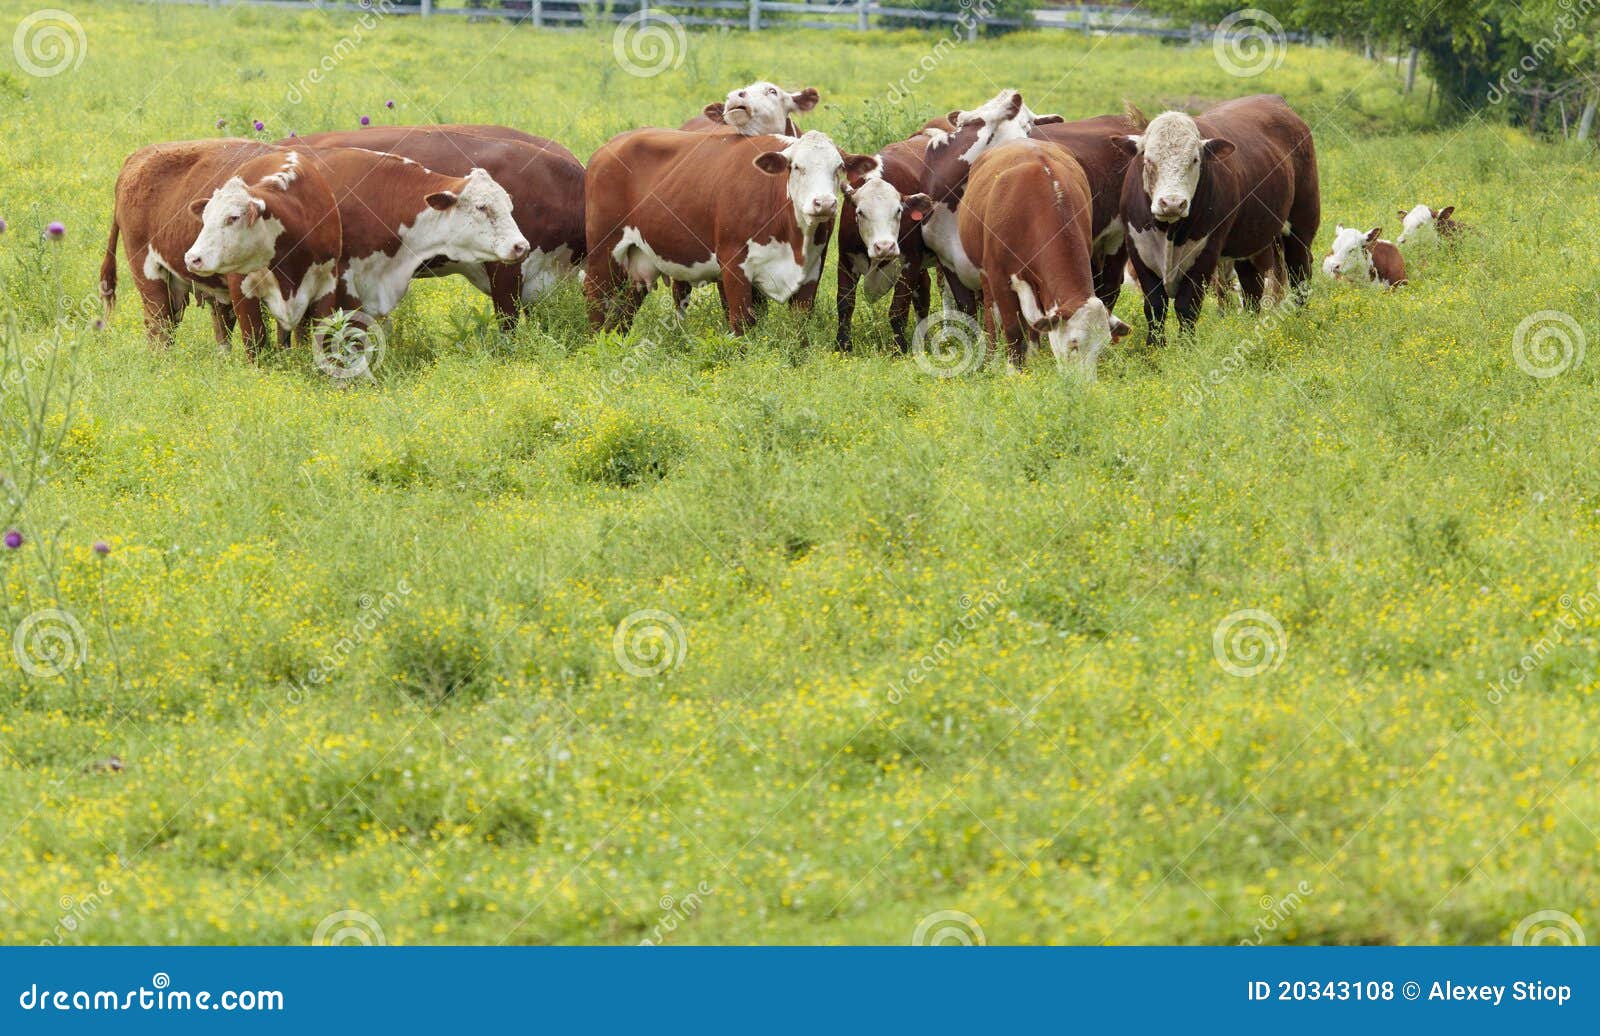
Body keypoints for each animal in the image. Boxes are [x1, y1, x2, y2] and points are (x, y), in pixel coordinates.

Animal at [99, 140, 341, 355]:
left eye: (233, 218)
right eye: (205, 219)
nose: (192, 258)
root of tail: (137, 156)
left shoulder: (326, 286)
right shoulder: (242, 289)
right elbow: (256, 343)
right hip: (149, 276)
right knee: (160, 329)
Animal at [584, 129, 875, 333]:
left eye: (839, 167)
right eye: (796, 167)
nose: (824, 203)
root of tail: (609, 147)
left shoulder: (812, 268)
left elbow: (800, 324)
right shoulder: (734, 265)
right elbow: (743, 322)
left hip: (638, 260)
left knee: (625, 309)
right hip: (603, 249)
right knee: (595, 296)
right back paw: (597, 344)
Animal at [836, 133, 935, 350]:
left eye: (898, 210)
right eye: (860, 212)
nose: (884, 247)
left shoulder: (910, 263)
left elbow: (898, 310)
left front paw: (900, 349)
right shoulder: (846, 260)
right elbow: (845, 304)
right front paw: (842, 346)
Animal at [958, 139, 1130, 377]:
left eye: (1101, 347)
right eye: (1073, 344)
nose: (1083, 383)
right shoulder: (999, 277)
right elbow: (1012, 327)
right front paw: (1013, 371)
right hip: (984, 274)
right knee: (992, 316)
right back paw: (991, 359)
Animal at [1115, 94, 1320, 342]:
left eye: (1195, 160)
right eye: (1148, 160)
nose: (1172, 203)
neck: (1169, 232)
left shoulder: (1207, 252)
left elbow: (1187, 306)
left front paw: (1186, 346)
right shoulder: (1138, 250)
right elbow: (1155, 307)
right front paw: (1155, 348)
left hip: (1301, 226)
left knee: (1300, 273)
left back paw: (1301, 320)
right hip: (1246, 241)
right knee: (1252, 288)